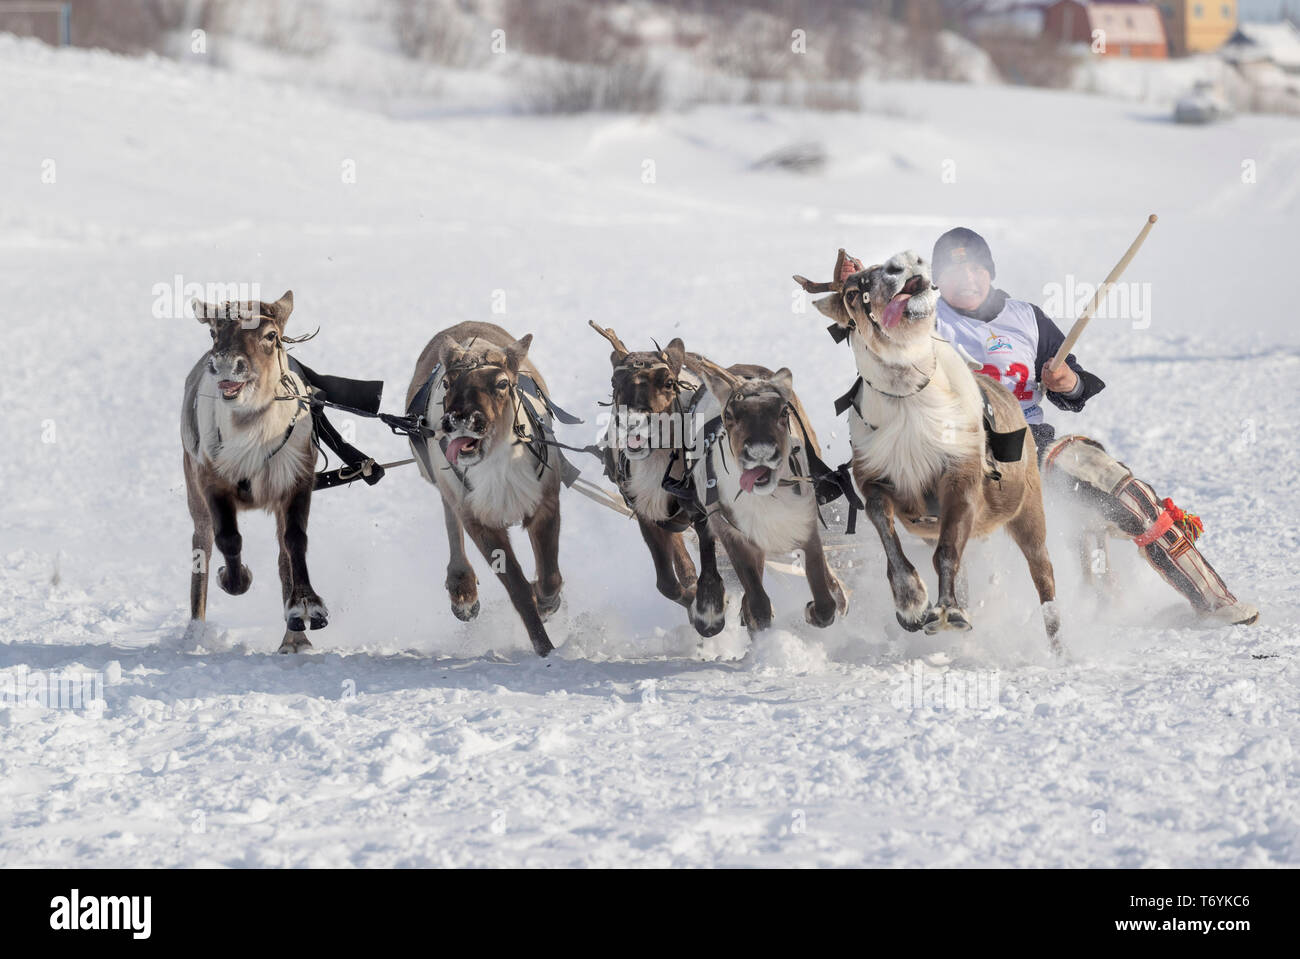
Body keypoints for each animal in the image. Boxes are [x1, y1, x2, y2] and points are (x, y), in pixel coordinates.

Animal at [181, 290, 326, 654]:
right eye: (214, 332)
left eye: (270, 335)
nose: (225, 365)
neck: (254, 430)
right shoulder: (211, 480)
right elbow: (228, 540)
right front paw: (235, 578)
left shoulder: (296, 479)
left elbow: (295, 542)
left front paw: (307, 608)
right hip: (193, 493)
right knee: (202, 546)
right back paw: (194, 633)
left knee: (282, 555)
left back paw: (294, 634)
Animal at [406, 322, 564, 658]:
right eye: (448, 382)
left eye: (502, 383)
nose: (458, 420)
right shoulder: (479, 519)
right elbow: (517, 588)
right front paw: (543, 646)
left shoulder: (544, 502)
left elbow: (549, 576)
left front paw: (546, 603)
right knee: (450, 518)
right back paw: (462, 590)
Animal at [588, 322, 727, 637]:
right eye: (615, 383)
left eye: (668, 382)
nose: (634, 424)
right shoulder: (645, 512)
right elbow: (667, 583)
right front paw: (692, 602)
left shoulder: (701, 508)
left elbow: (709, 556)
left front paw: (710, 610)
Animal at [682, 356, 849, 636]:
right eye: (730, 415)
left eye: (783, 412)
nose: (761, 451)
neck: (767, 498)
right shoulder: (733, 534)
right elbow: (758, 600)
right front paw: (759, 624)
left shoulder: (805, 523)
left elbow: (822, 593)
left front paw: (818, 609)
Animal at [795, 249, 1060, 651]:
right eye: (852, 293)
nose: (903, 262)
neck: (910, 402)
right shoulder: (876, 481)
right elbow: (886, 528)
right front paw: (912, 604)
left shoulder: (961, 476)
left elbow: (947, 552)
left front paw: (948, 612)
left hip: (1029, 512)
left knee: (1043, 575)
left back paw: (1057, 647)